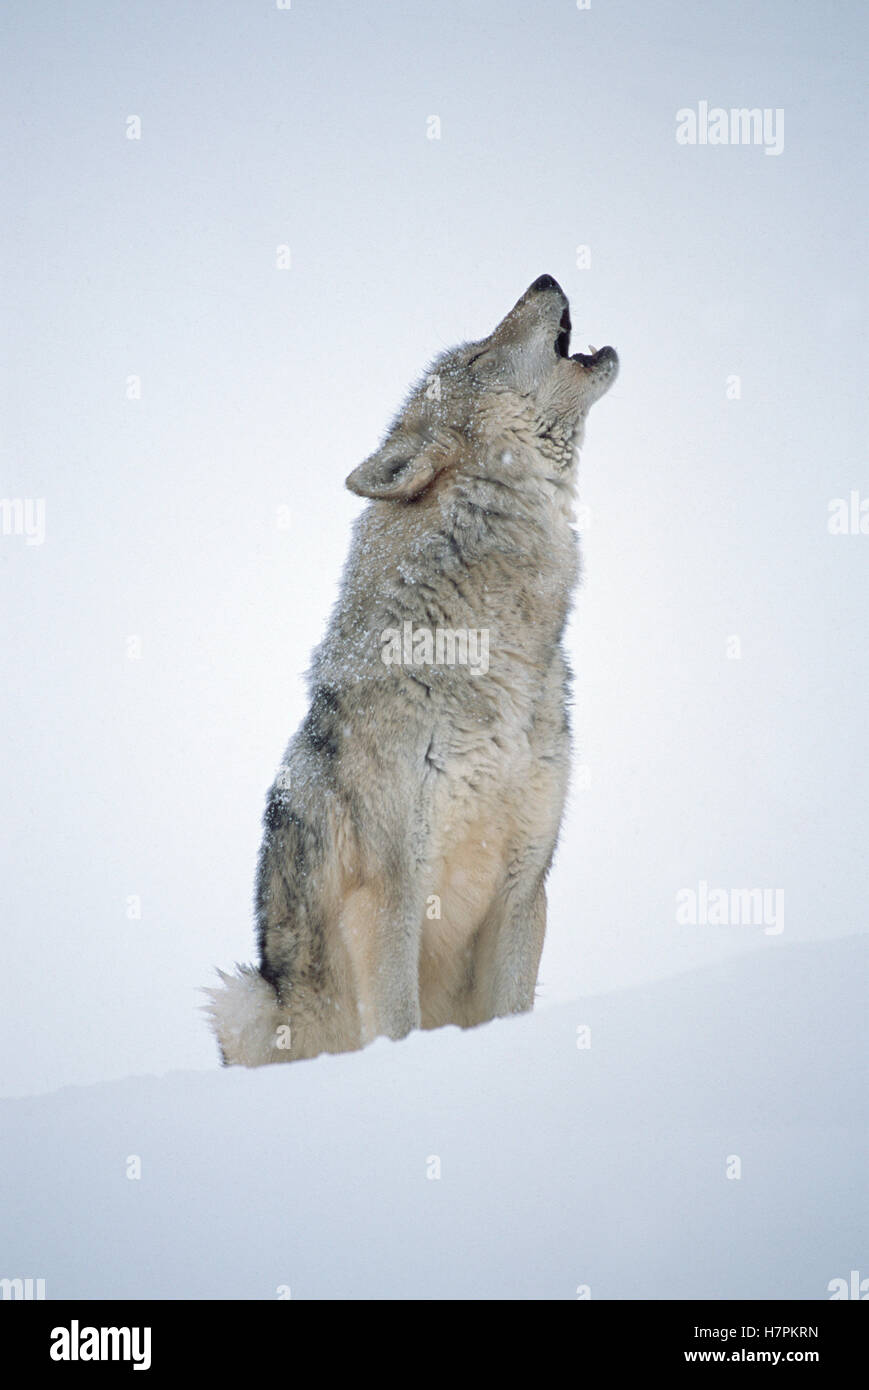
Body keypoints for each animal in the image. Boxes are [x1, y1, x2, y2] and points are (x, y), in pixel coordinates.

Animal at [207, 274, 618, 1065]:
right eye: (481, 354)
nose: (545, 278)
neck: (492, 652)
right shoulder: (390, 895)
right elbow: (396, 1021)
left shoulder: (526, 886)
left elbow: (511, 1007)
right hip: (242, 998)